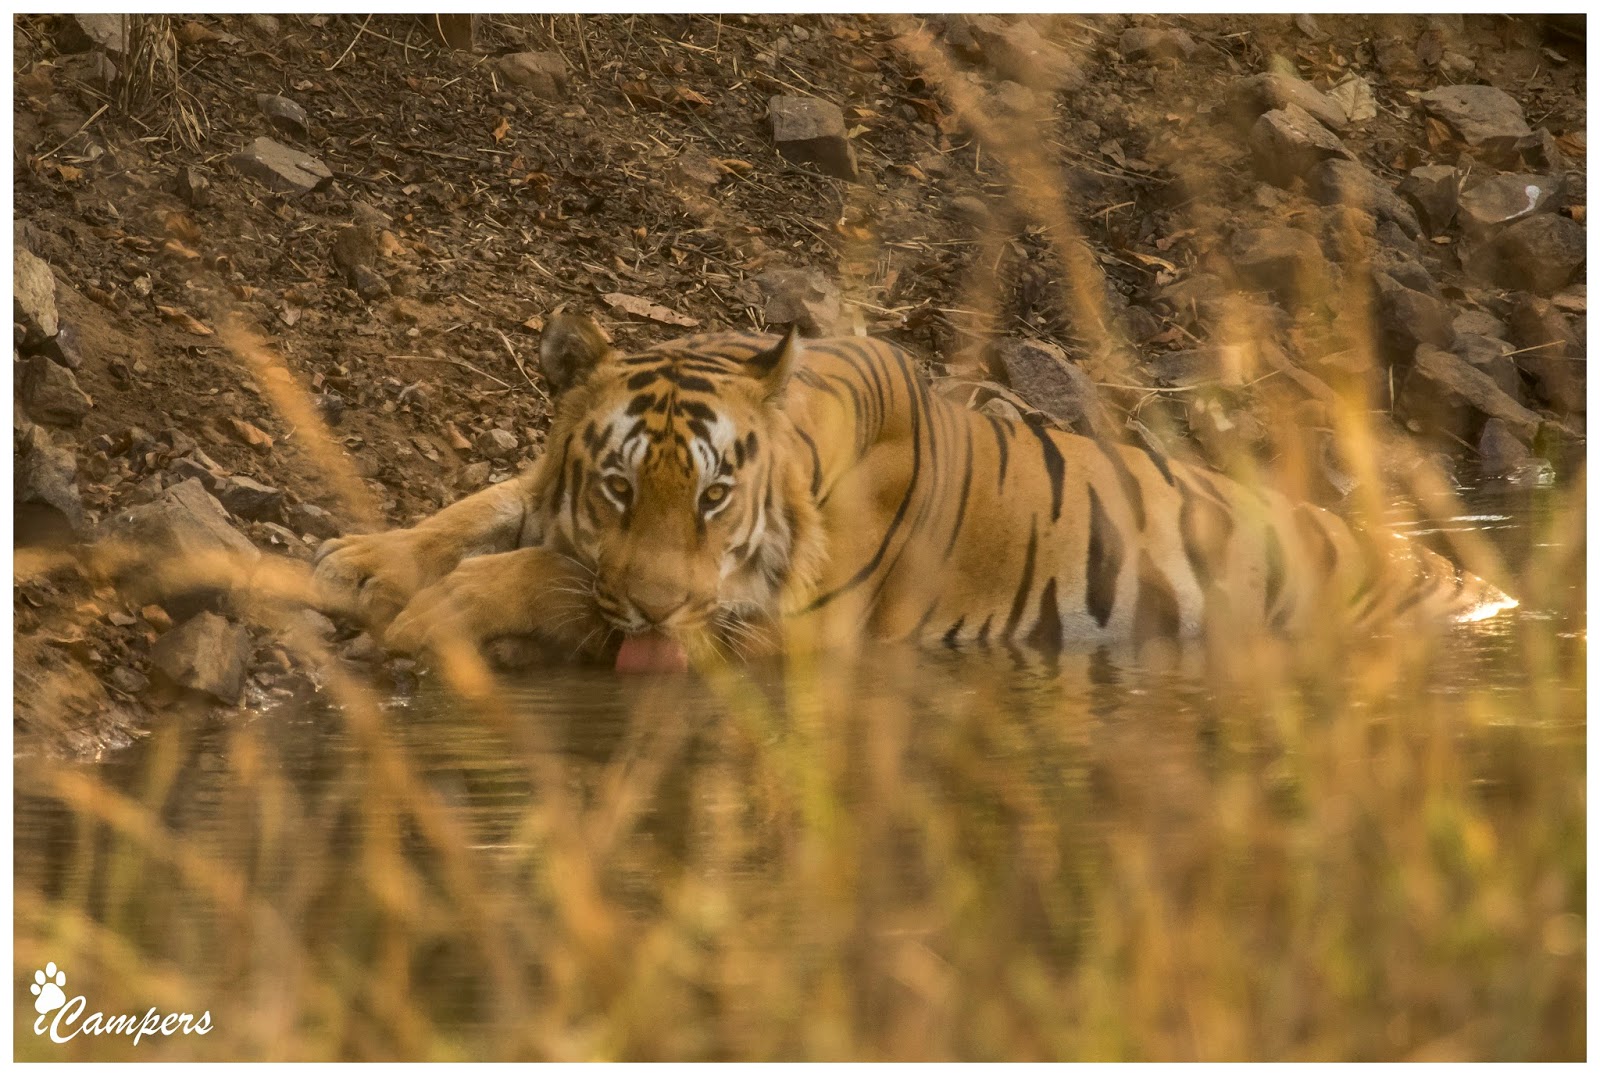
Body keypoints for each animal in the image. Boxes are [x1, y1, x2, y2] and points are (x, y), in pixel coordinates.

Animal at [311, 312, 1517, 672]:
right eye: (616, 486)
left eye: (712, 500)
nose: (654, 609)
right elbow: (491, 505)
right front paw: (363, 560)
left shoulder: (778, 634)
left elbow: (547, 576)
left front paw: (429, 608)